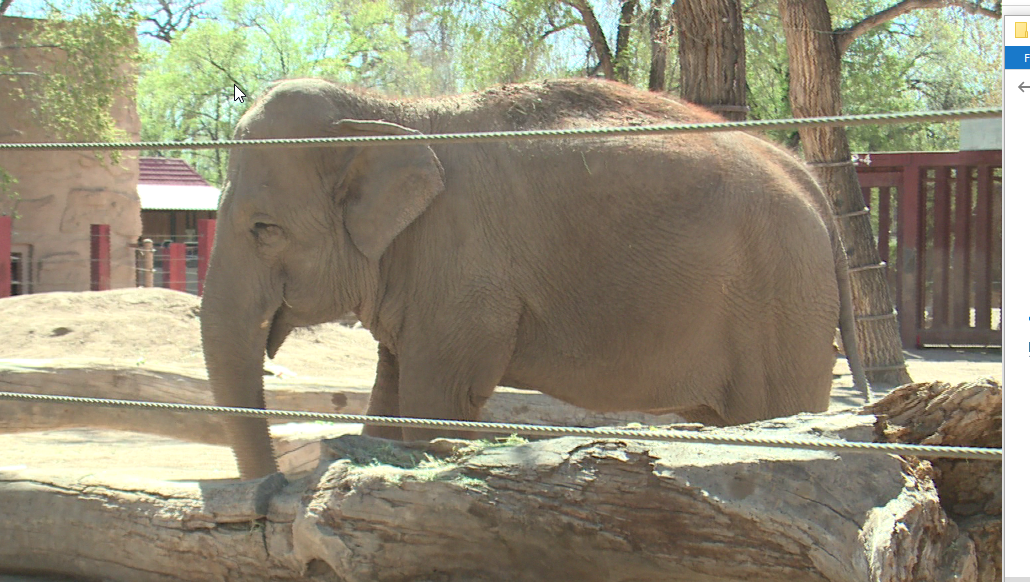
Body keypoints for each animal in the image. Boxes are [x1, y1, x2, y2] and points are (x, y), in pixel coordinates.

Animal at [201, 77, 869, 481]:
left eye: (263, 228)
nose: (271, 495)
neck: (388, 108)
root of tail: (808, 182)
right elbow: (389, 397)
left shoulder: (462, 271)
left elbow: (437, 407)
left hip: (783, 304)